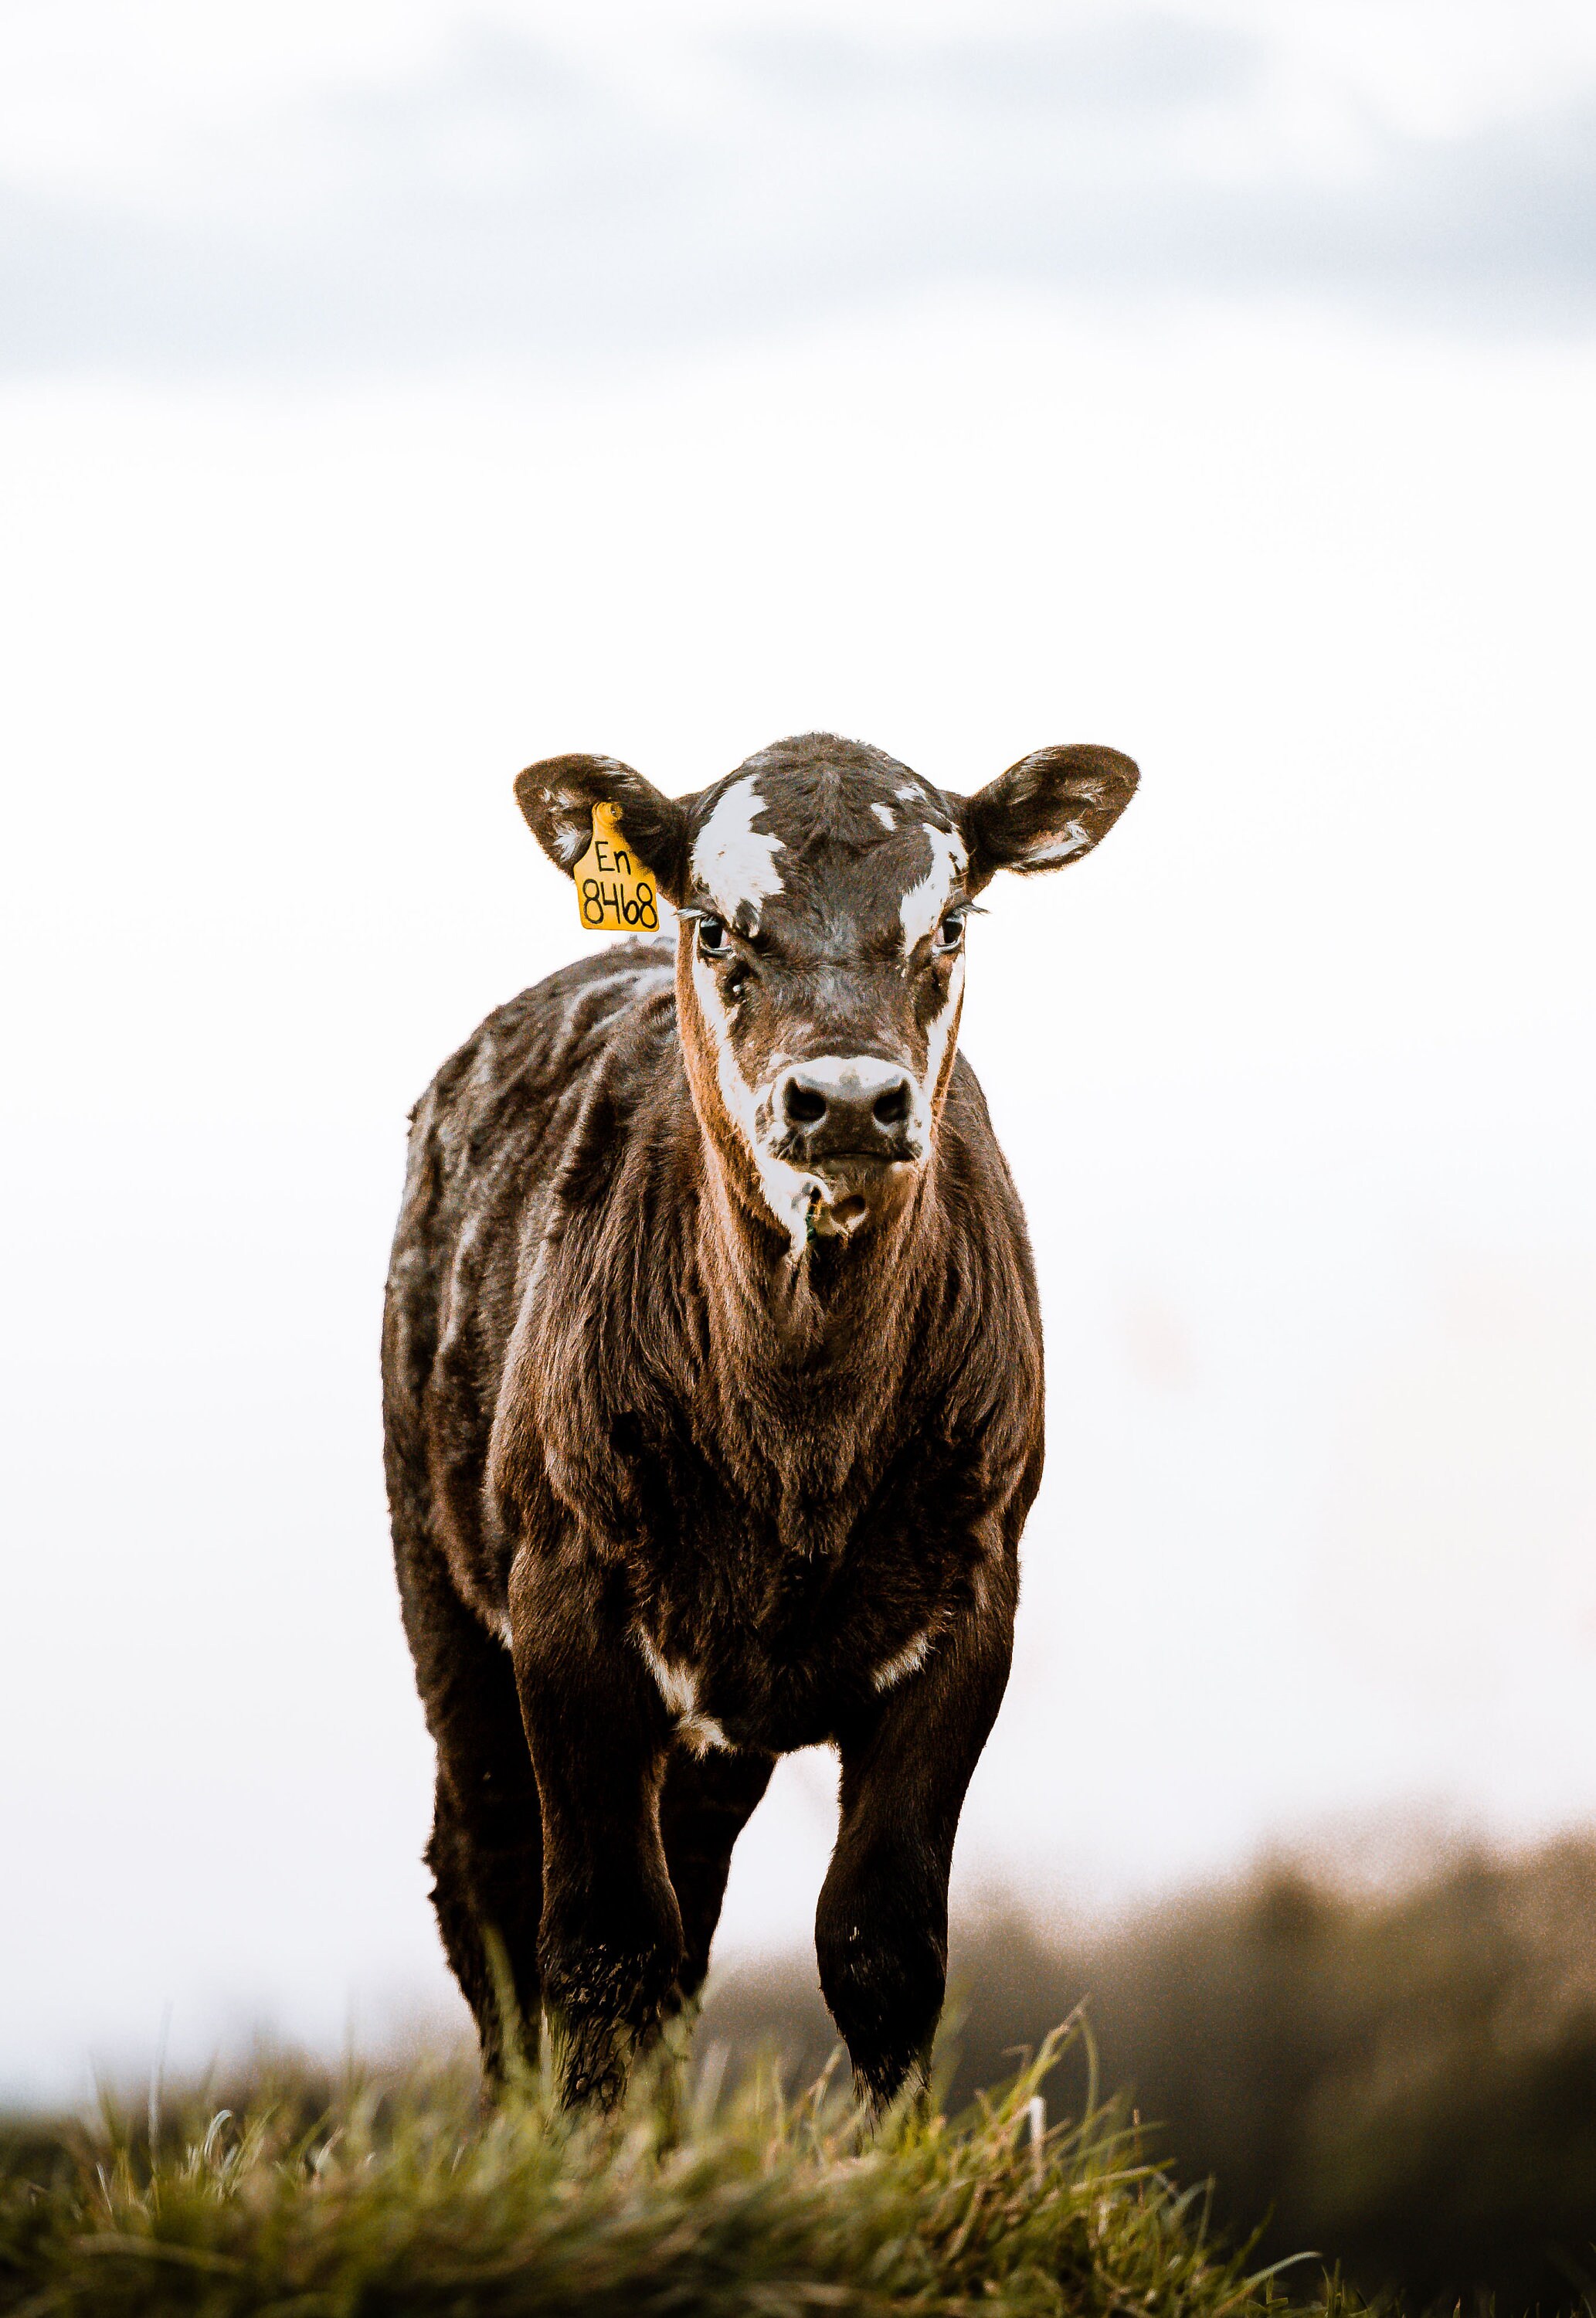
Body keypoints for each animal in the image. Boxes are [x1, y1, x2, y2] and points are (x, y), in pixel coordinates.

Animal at [382, 729, 1138, 2113]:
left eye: (950, 923)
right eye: (717, 928)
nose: (844, 1100)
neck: (801, 1424)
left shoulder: (973, 1603)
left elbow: (880, 1940)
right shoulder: (566, 1601)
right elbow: (600, 1939)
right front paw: (587, 2160)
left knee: (687, 1900)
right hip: (443, 1591)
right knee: (487, 1878)